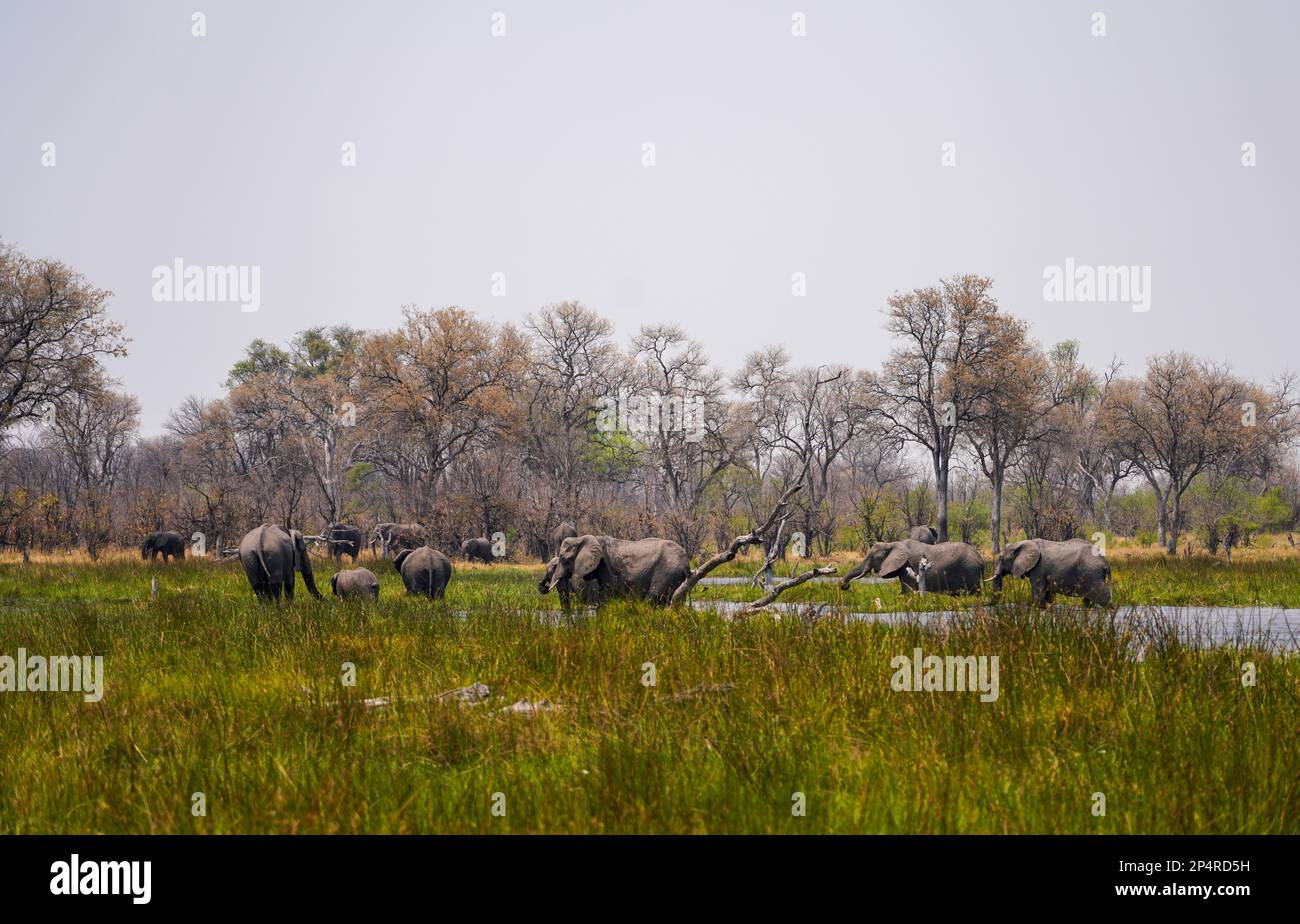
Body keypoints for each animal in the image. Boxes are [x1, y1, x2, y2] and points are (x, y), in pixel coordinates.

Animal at [542, 535, 689, 606]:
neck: (582, 539)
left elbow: (607, 595)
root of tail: (686, 562)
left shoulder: (606, 567)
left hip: (667, 572)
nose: (545, 588)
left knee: (653, 599)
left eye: (564, 559)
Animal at [840, 539, 983, 594]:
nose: (846, 587)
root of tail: (982, 561)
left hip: (969, 570)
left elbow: (907, 589)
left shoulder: (908, 565)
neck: (893, 543)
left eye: (871, 557)